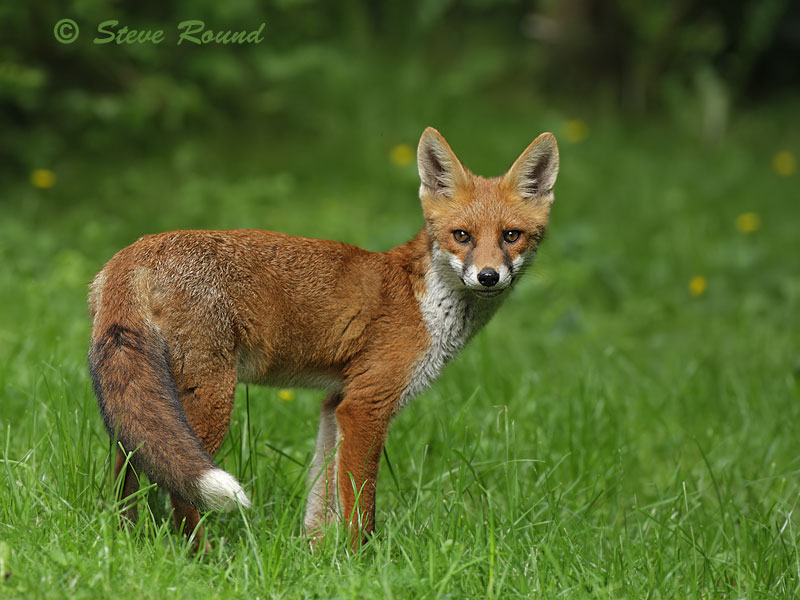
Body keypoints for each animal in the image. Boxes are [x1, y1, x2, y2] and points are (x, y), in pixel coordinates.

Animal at [87, 127, 559, 550]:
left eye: (511, 236)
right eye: (462, 236)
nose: (488, 276)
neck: (422, 301)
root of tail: (138, 249)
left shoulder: (335, 402)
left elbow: (321, 501)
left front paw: (315, 558)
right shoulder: (366, 405)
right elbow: (360, 507)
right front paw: (359, 563)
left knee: (130, 463)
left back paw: (125, 539)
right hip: (209, 399)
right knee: (175, 486)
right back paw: (201, 556)